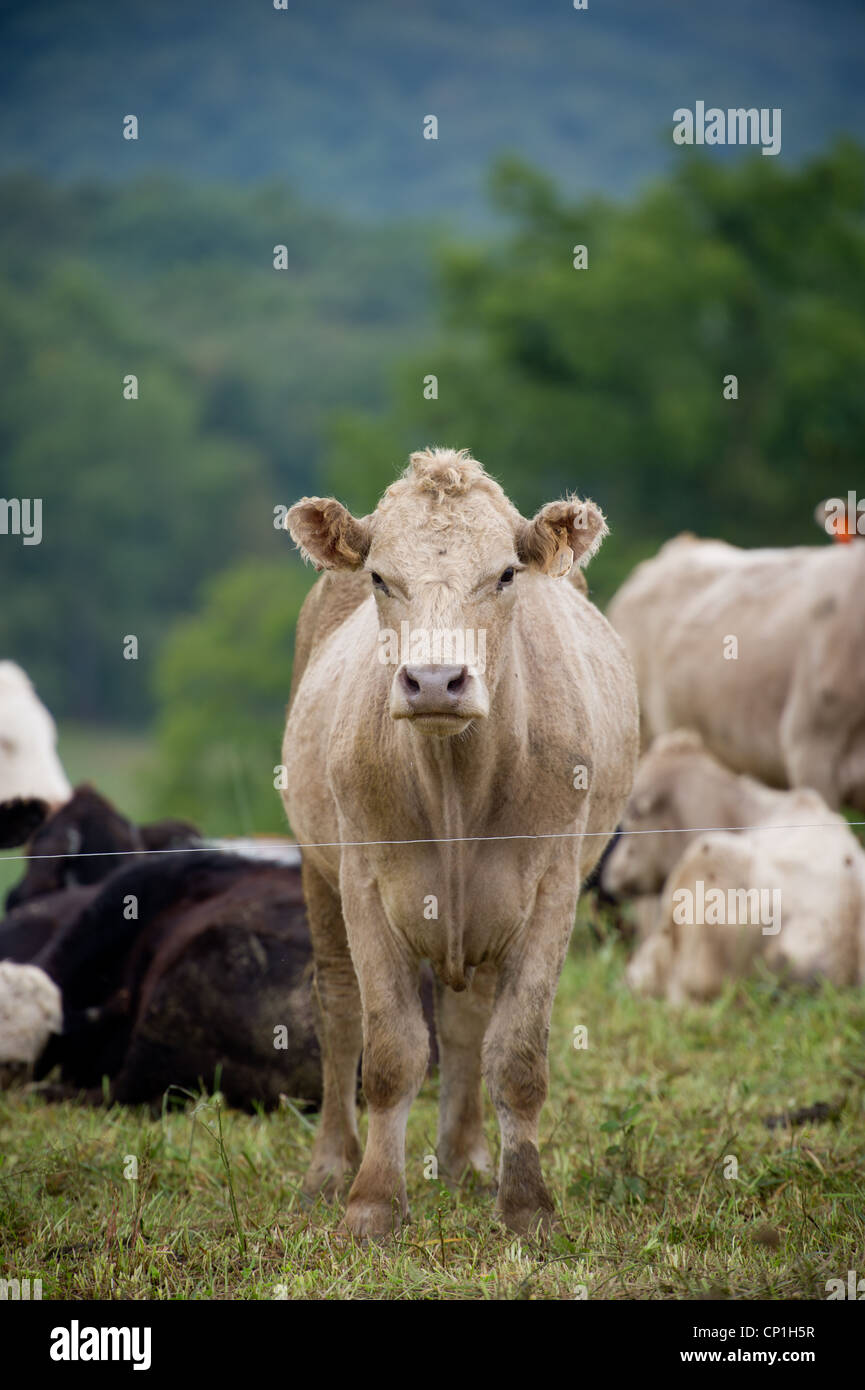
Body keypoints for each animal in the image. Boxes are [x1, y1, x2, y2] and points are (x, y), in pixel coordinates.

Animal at [282, 447, 639, 1237]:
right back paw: (328, 1167)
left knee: (469, 1021)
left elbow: (515, 1055)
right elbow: (390, 1052)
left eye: (504, 575)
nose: (436, 681)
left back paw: (466, 1160)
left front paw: (526, 1205)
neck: (453, 784)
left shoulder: (552, 888)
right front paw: (372, 1203)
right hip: (319, 873)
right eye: (381, 577)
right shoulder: (362, 884)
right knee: (338, 1009)